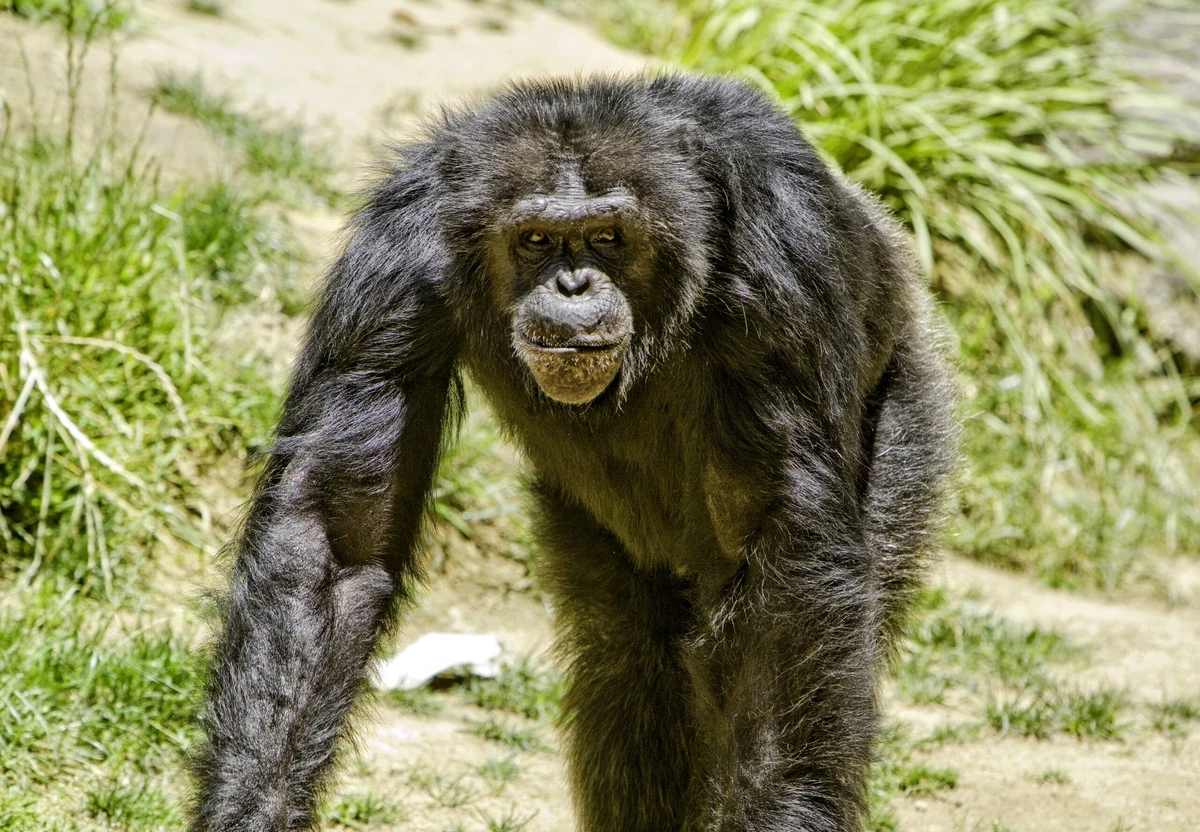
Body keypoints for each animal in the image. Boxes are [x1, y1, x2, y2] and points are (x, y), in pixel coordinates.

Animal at [190, 73, 957, 832]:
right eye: (535, 239)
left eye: (607, 236)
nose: (573, 284)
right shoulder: (393, 259)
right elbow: (336, 538)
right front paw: (253, 809)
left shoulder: (786, 274)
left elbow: (783, 572)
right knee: (627, 658)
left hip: (914, 400)